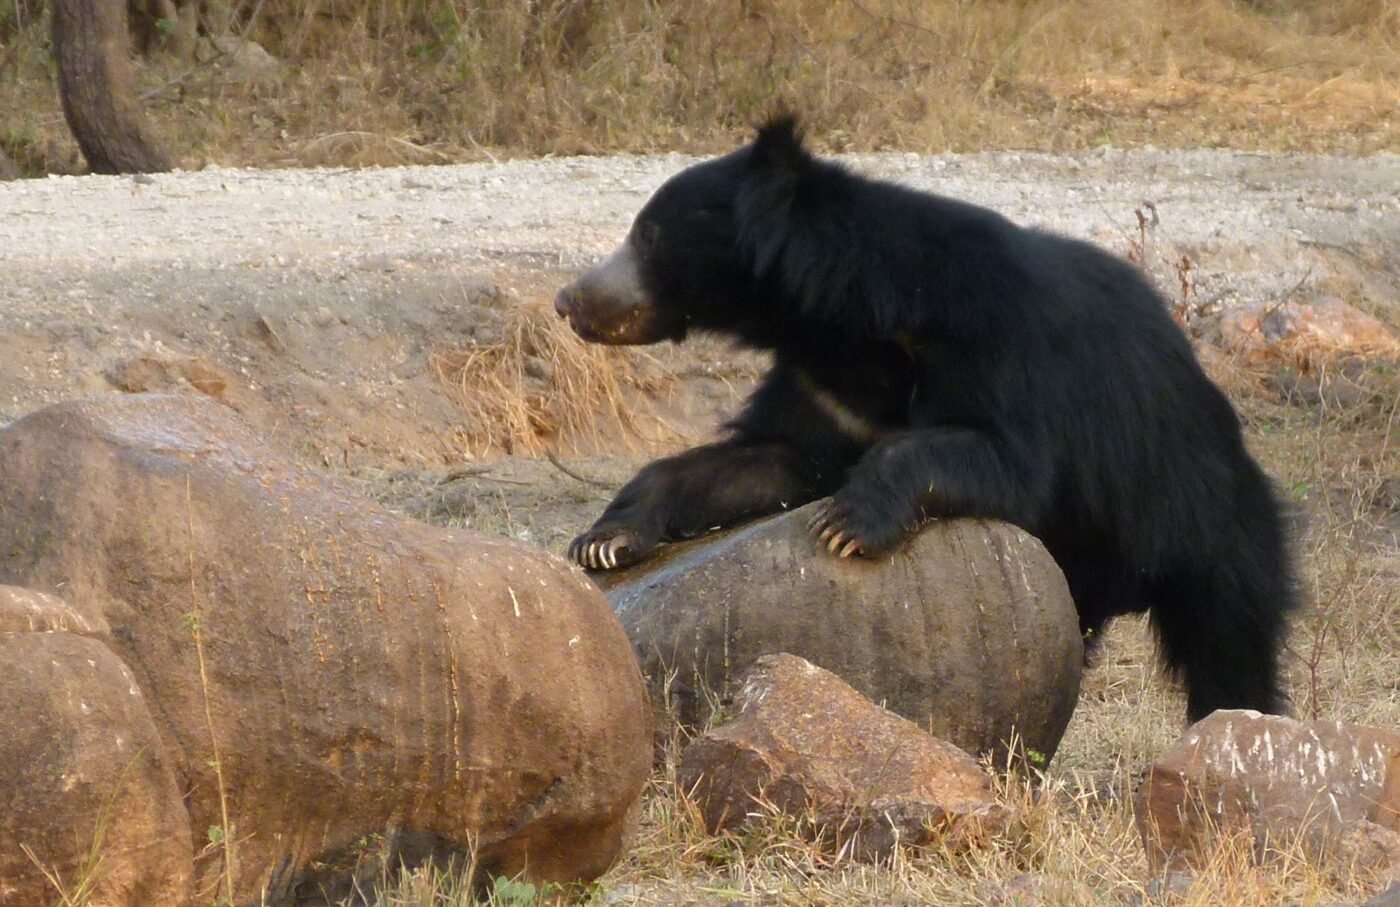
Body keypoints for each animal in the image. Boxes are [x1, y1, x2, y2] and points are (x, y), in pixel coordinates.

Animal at [553, 115, 1297, 722]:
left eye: (649, 234)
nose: (569, 299)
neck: (845, 317)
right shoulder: (826, 384)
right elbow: (771, 457)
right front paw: (605, 539)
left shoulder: (1000, 344)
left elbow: (1007, 461)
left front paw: (848, 523)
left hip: (1199, 509)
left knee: (1229, 632)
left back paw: (1235, 719)